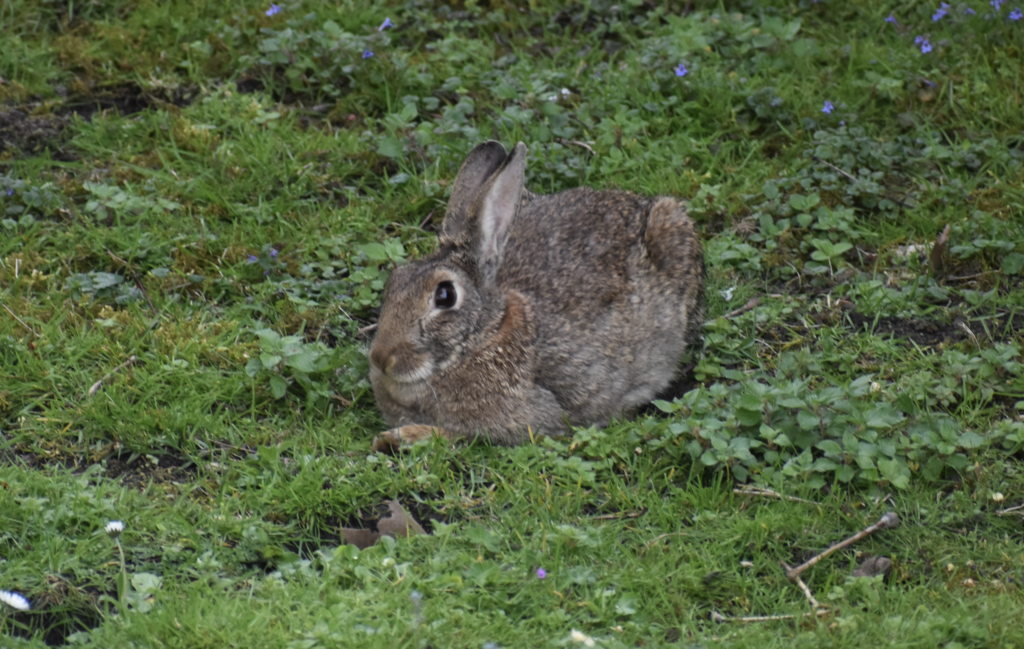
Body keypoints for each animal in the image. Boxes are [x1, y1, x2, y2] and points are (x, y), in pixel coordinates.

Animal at [368, 140, 704, 450]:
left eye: (445, 295)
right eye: (394, 282)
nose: (382, 359)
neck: (483, 338)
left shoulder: (533, 423)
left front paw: (398, 437)